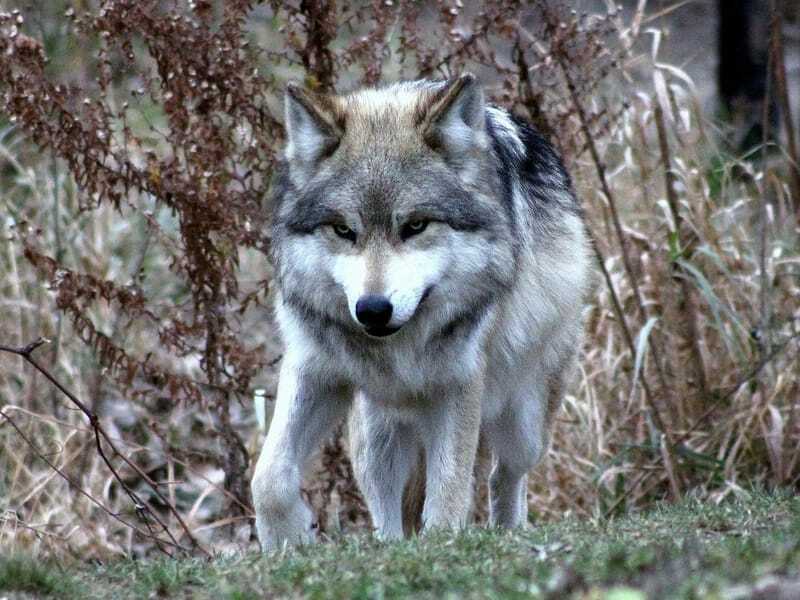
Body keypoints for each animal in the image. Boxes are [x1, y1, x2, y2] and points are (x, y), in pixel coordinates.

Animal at [253, 74, 592, 548]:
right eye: (343, 230)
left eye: (415, 226)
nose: (373, 310)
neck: (399, 347)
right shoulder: (315, 369)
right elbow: (267, 478)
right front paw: (287, 540)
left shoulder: (460, 383)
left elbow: (448, 490)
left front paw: (443, 544)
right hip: (376, 433)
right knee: (386, 503)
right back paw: (390, 545)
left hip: (523, 422)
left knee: (504, 474)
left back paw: (509, 531)